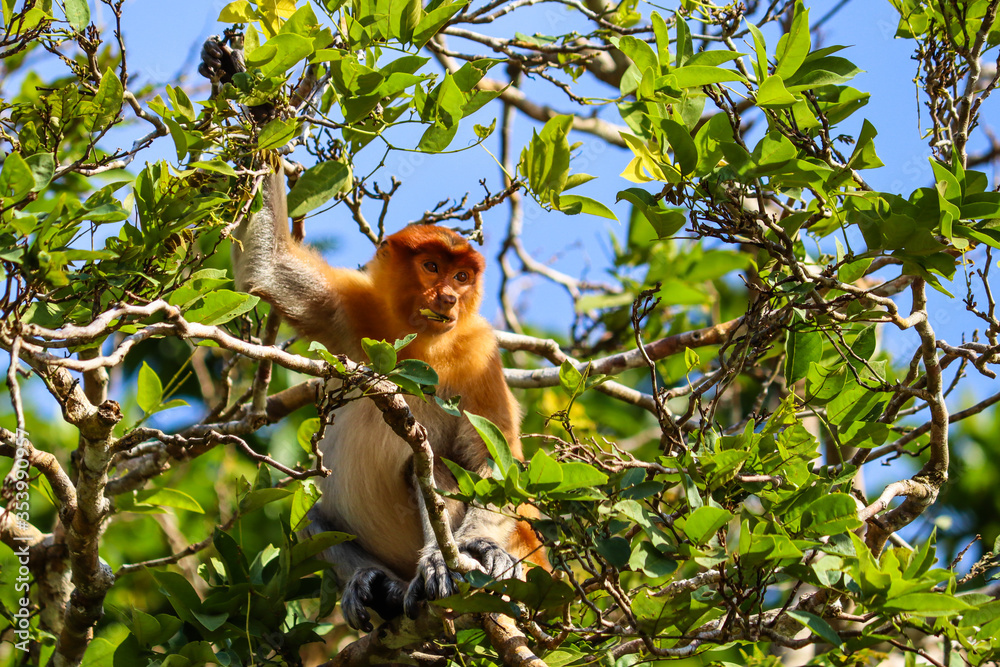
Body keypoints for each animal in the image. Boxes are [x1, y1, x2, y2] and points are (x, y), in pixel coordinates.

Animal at [199, 36, 543, 633]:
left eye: (463, 276)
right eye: (431, 267)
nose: (448, 299)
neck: (420, 342)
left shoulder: (479, 354)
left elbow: (489, 464)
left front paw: (474, 552)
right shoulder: (352, 307)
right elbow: (269, 269)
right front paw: (244, 88)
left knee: (431, 470)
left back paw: (462, 563)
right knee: (317, 518)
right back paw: (376, 584)